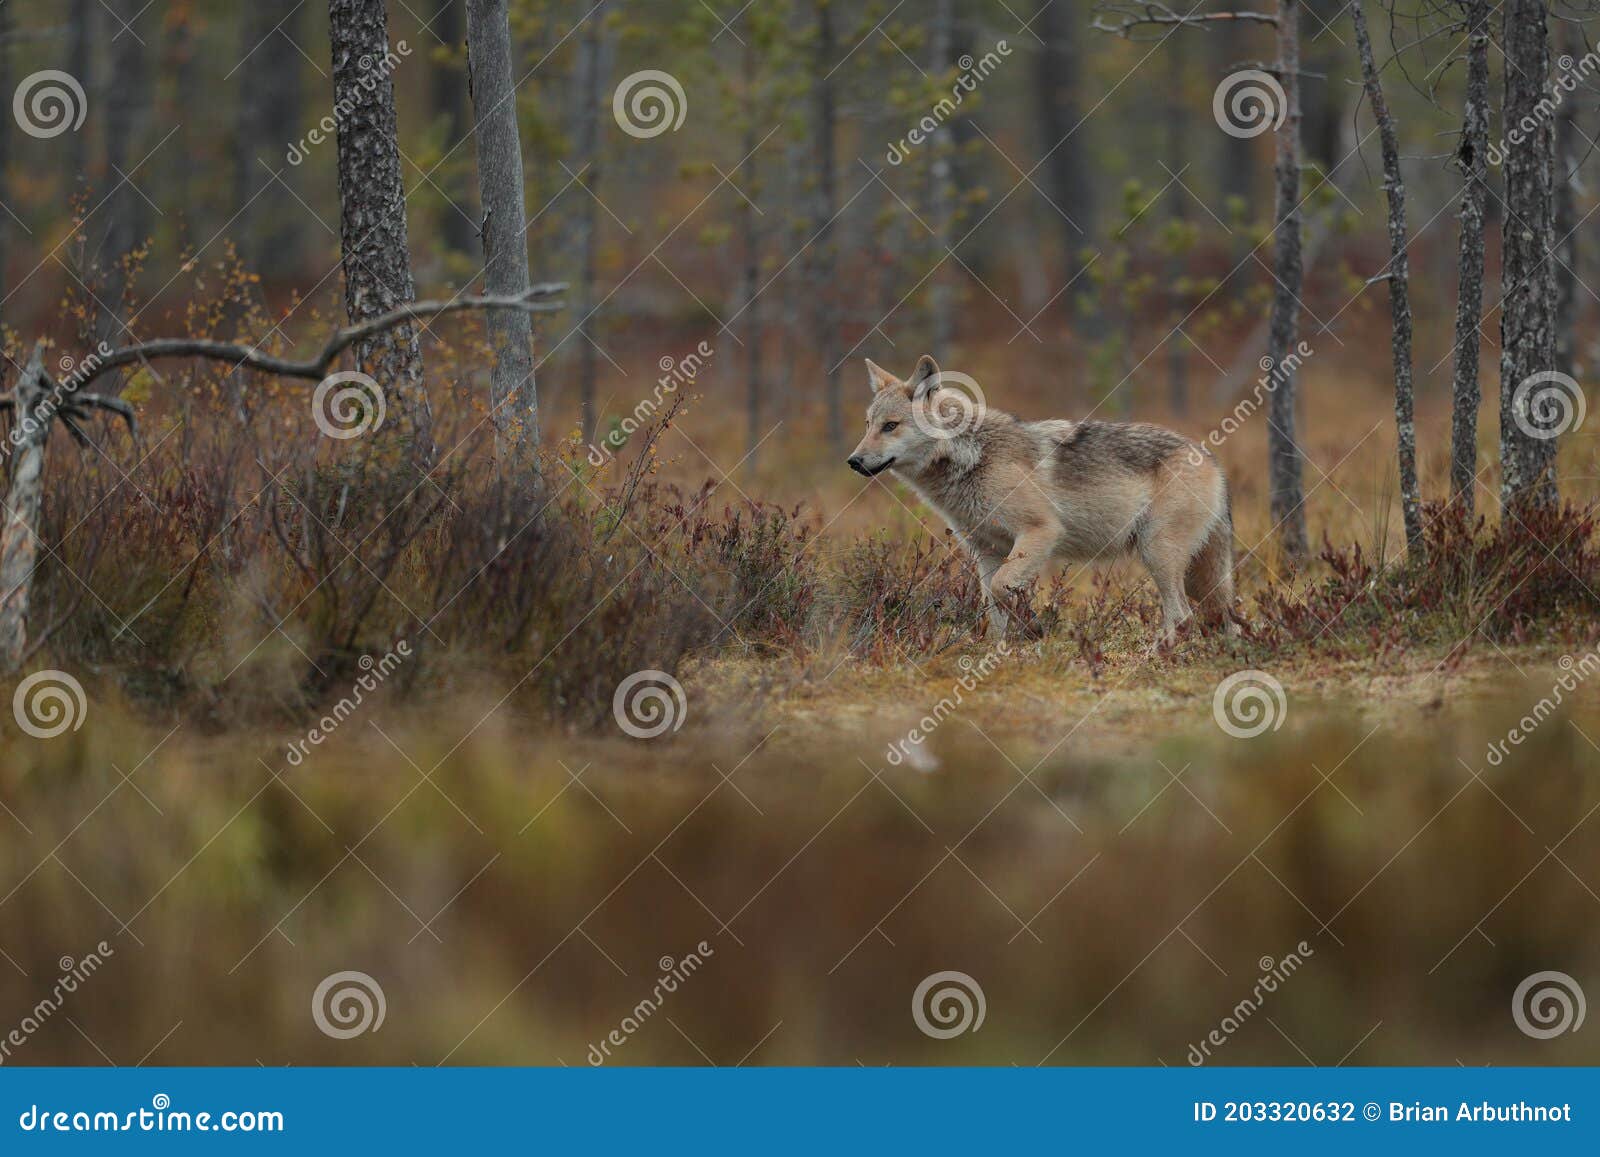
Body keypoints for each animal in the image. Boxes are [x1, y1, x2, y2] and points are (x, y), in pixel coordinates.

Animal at [847, 355, 1236, 643]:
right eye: (867, 425)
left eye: (891, 426)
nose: (853, 461)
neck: (970, 457)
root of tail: (1212, 459)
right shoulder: (987, 552)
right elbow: (994, 608)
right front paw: (1000, 652)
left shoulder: (1042, 531)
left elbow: (1003, 589)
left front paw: (1033, 626)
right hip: (1189, 570)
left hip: (1157, 555)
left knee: (1182, 617)